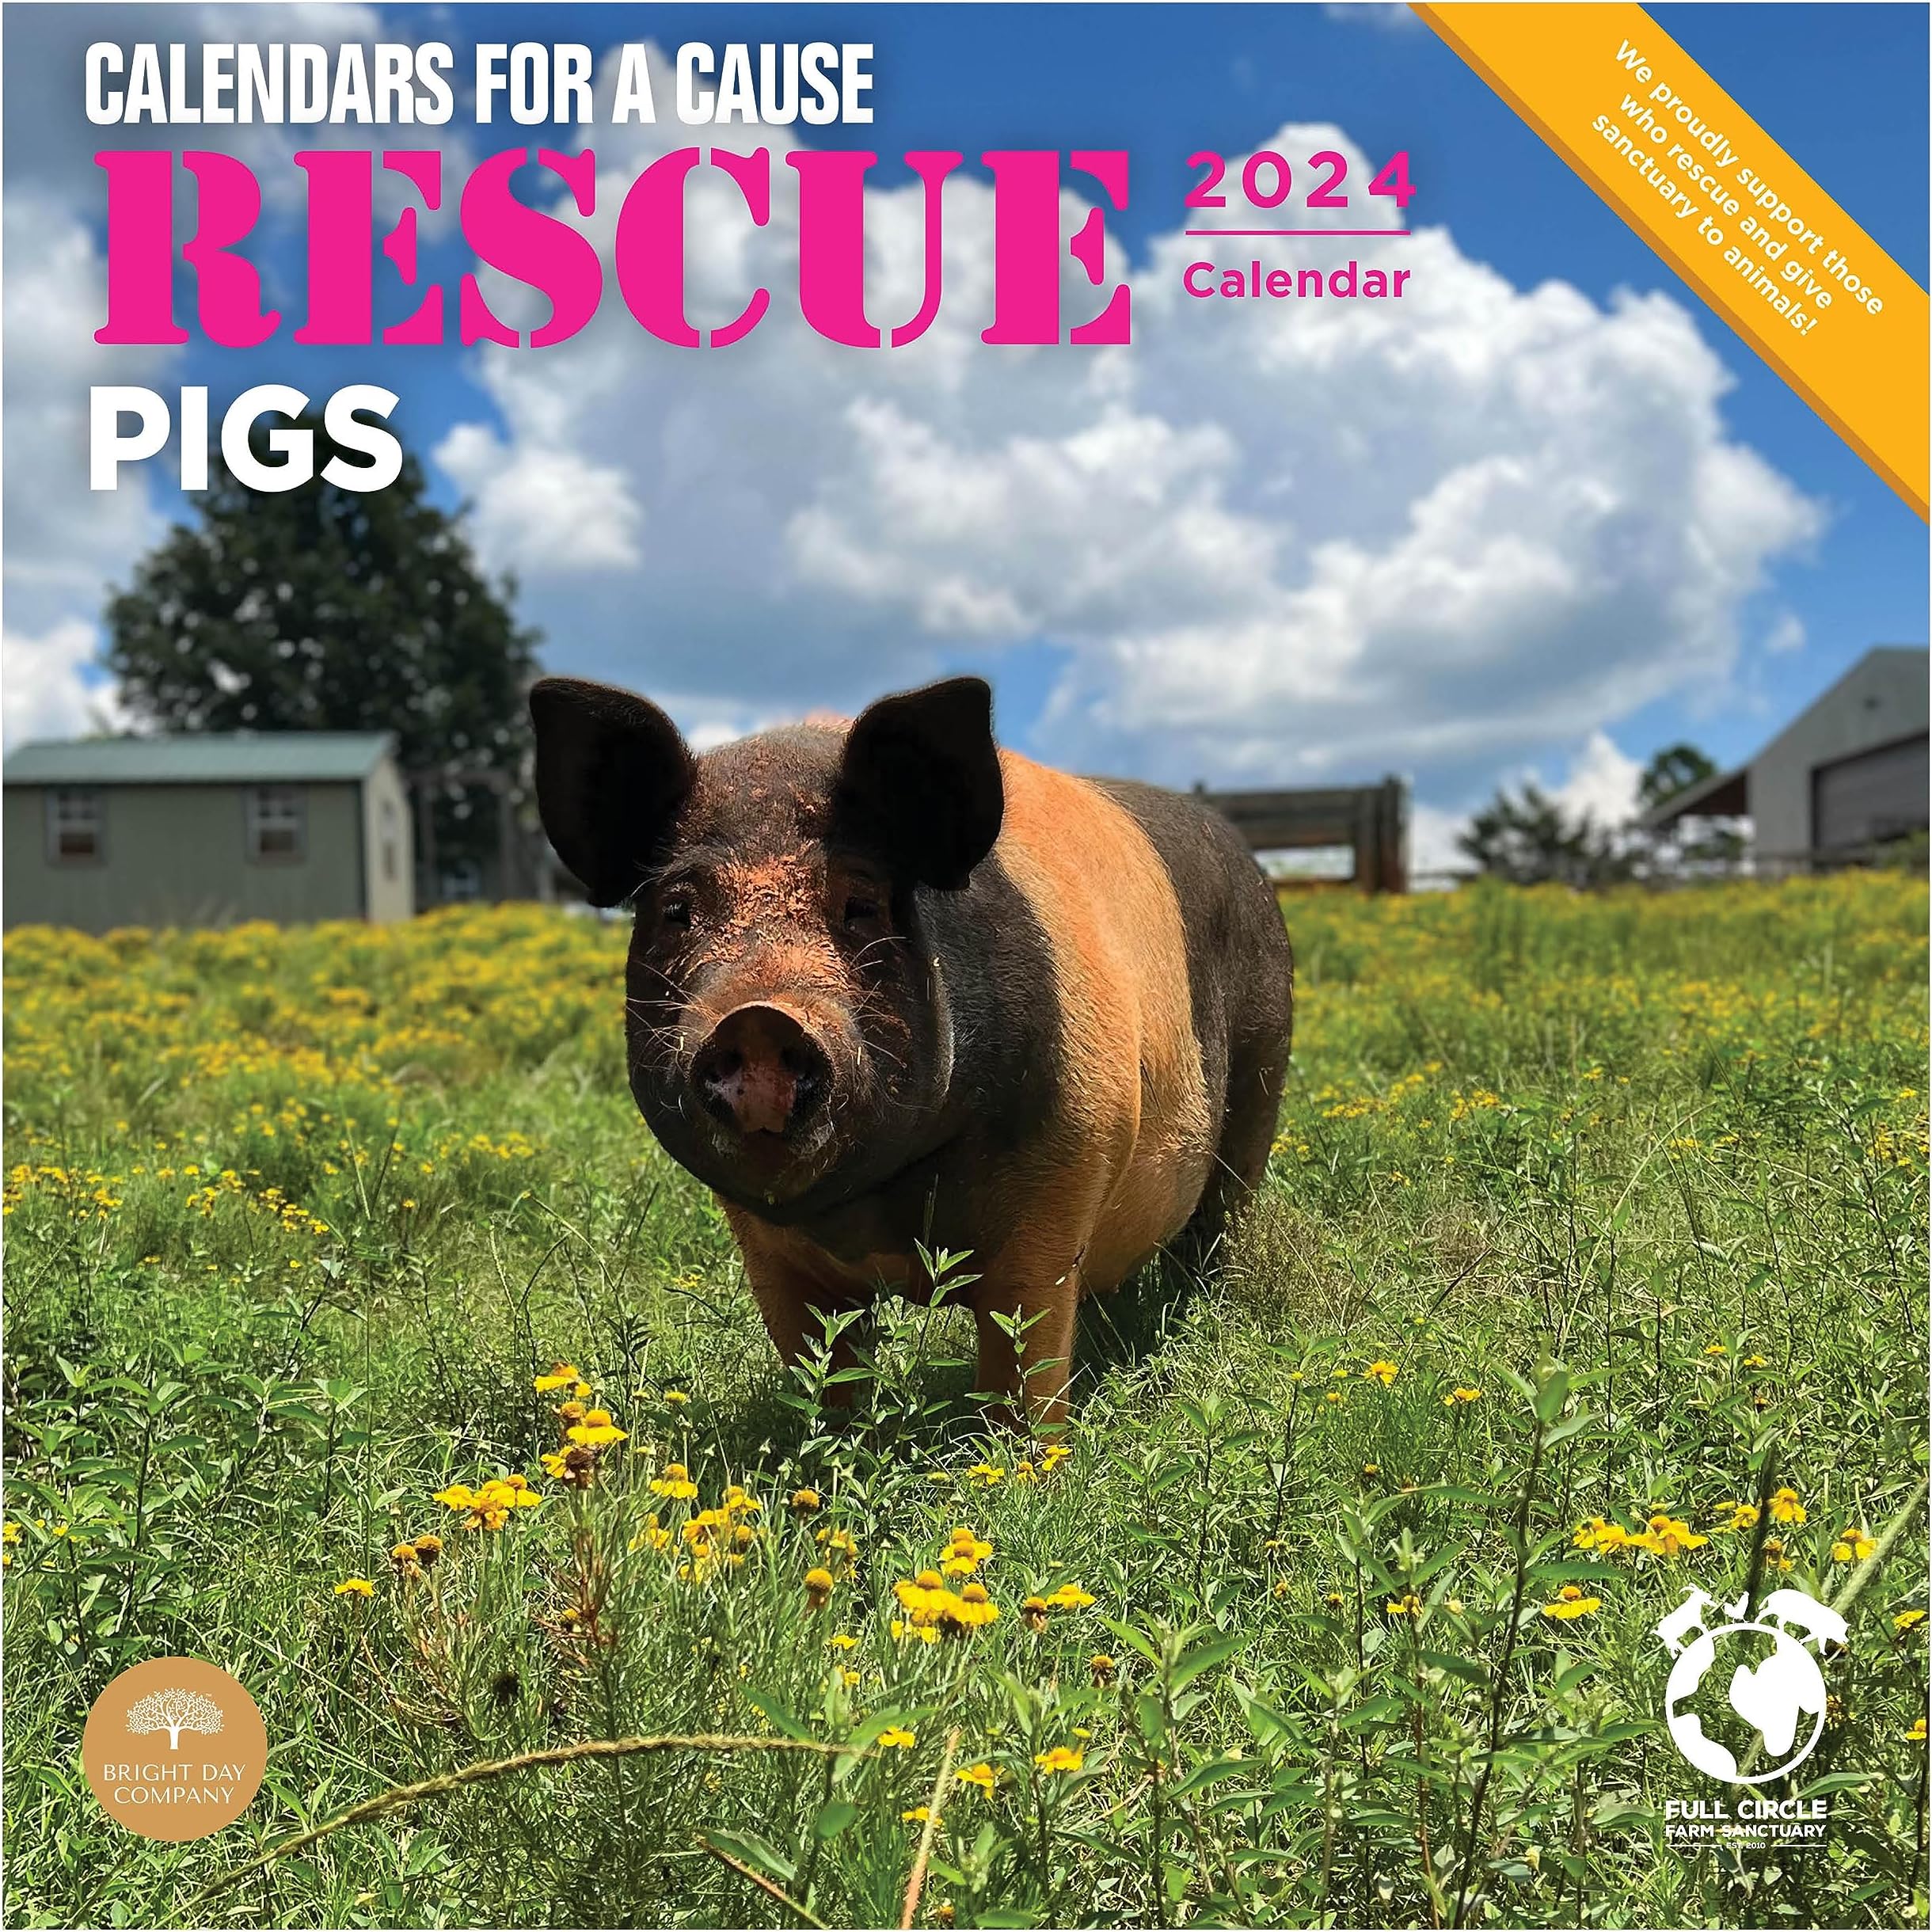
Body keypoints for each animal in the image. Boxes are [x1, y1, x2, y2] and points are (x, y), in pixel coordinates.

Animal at [529, 674, 1293, 1425]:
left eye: (860, 904)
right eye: (678, 910)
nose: (758, 1017)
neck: (875, 1212)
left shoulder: (1070, 1162)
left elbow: (1026, 1348)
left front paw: (1024, 1452)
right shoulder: (766, 1247)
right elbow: (821, 1364)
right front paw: (834, 1440)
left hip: (1261, 1076)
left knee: (1216, 1225)